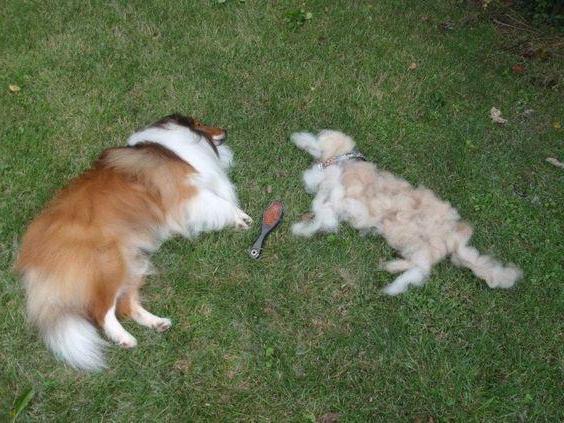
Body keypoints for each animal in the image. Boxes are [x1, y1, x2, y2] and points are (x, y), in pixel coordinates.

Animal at [15, 113, 251, 372]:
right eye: (199, 123)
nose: (225, 131)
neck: (170, 148)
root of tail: (33, 255)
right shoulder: (188, 194)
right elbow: (223, 203)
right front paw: (242, 218)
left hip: (134, 260)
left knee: (125, 306)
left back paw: (156, 323)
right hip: (110, 265)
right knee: (101, 312)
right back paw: (124, 338)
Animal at [294, 131, 524, 296]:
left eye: (320, 136)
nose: (297, 138)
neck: (342, 161)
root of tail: (454, 238)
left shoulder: (343, 193)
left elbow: (324, 205)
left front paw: (301, 227)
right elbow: (322, 205)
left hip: (411, 238)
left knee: (421, 268)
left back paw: (393, 282)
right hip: (412, 241)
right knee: (420, 265)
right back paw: (392, 267)